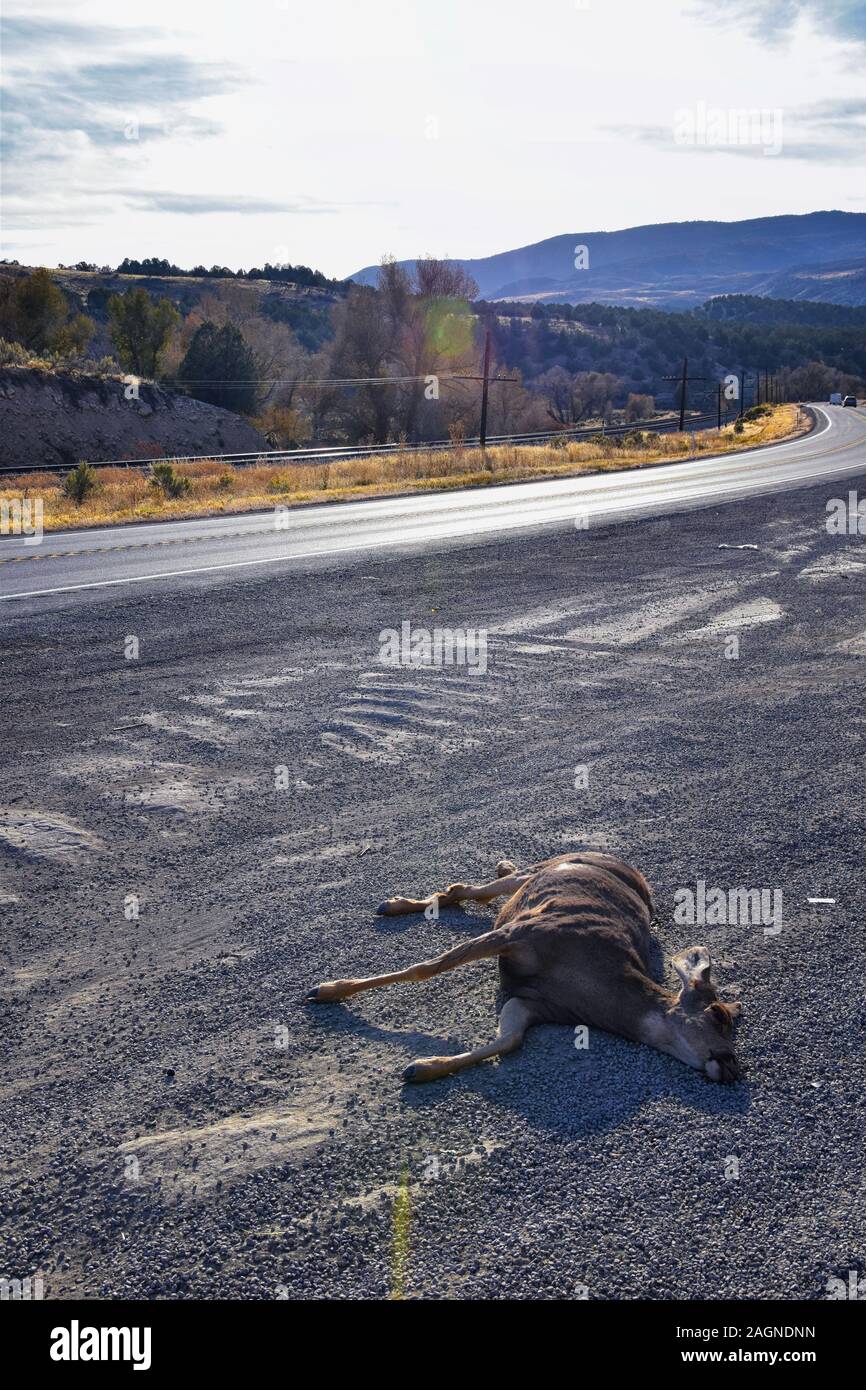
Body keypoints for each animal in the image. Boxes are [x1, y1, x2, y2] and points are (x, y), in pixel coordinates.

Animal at [306, 850, 742, 1085]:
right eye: (719, 1015)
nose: (732, 1067)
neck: (593, 987)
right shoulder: (525, 933)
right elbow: (426, 968)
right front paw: (329, 989)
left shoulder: (533, 1000)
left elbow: (510, 1040)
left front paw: (423, 1068)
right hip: (542, 869)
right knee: (475, 888)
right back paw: (396, 904)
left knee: (469, 892)